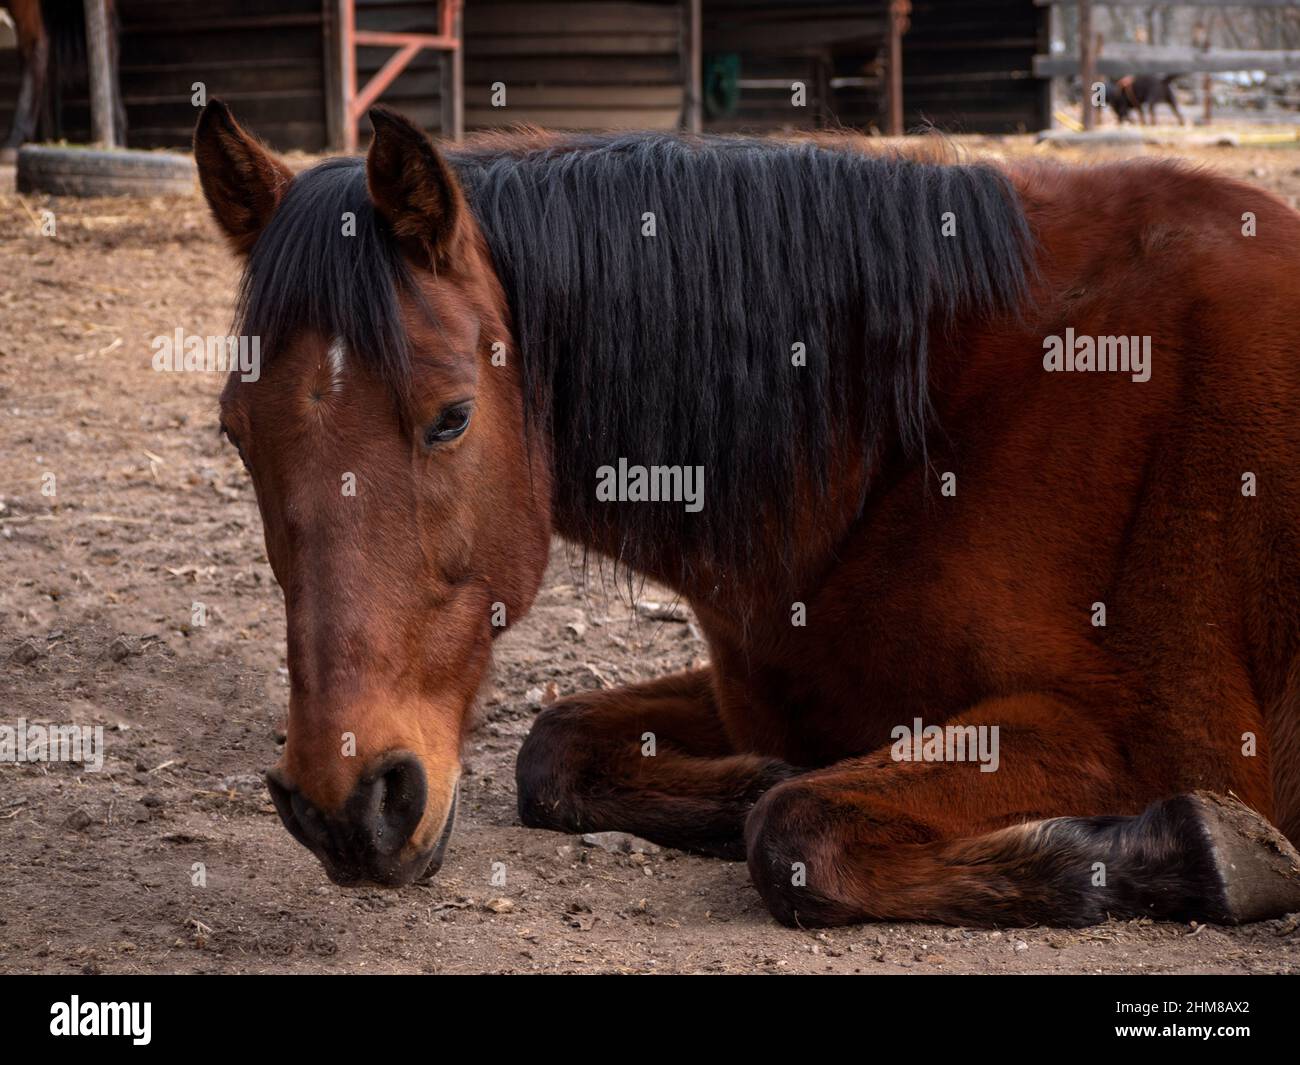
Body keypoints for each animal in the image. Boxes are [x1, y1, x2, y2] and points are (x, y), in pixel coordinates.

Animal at [193, 99, 1300, 927]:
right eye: (235, 433)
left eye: (452, 417)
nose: (345, 807)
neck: (923, 430)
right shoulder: (765, 680)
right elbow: (559, 746)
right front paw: (748, 778)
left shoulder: (1144, 738)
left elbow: (796, 830)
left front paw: (1188, 855)